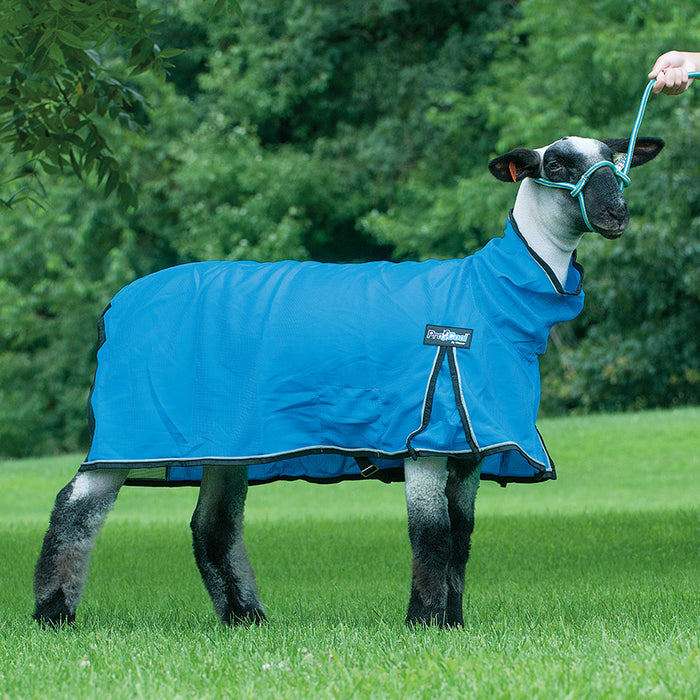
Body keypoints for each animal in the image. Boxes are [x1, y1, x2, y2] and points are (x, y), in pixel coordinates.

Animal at [33, 135, 664, 628]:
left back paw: (246, 619)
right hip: (129, 427)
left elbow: (462, 538)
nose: (616, 214)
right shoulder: (425, 437)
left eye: (615, 158)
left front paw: (455, 623)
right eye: (555, 164)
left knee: (212, 525)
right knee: (75, 508)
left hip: (227, 440)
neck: (490, 295)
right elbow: (432, 536)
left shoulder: (470, 444)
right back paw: (53, 614)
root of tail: (116, 306)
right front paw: (423, 623)